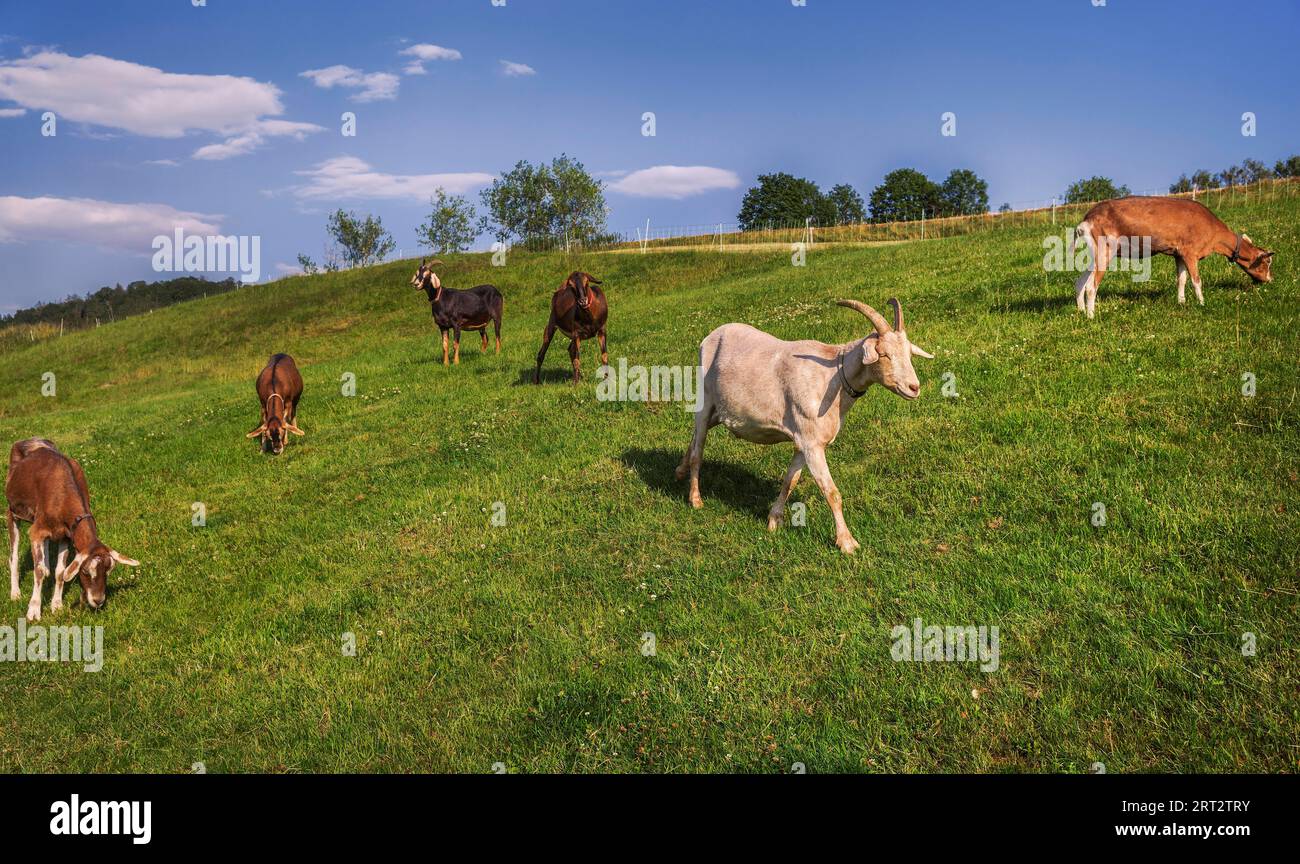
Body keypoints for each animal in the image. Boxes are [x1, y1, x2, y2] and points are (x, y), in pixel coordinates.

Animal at [6, 438, 139, 620]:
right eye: (86, 572)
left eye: (108, 572)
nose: (98, 601)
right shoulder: (37, 531)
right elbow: (37, 570)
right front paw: (33, 610)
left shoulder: (66, 535)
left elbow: (60, 572)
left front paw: (57, 605)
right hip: (12, 512)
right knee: (14, 555)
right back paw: (15, 593)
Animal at [676, 298, 933, 554]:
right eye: (884, 354)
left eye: (909, 354)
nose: (914, 387)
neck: (834, 377)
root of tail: (711, 335)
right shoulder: (812, 443)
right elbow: (832, 492)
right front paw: (847, 542)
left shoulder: (802, 441)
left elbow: (790, 480)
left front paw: (774, 520)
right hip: (704, 398)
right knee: (699, 446)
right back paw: (695, 498)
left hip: (722, 410)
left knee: (697, 435)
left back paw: (680, 470)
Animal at [1070, 196, 1274, 318]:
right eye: (1267, 262)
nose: (1269, 280)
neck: (1214, 232)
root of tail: (1087, 218)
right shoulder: (1190, 252)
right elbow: (1196, 280)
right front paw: (1202, 303)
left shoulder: (1179, 254)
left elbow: (1181, 280)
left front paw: (1181, 303)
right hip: (1105, 250)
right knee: (1091, 286)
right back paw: (1091, 316)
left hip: (1095, 254)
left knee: (1080, 282)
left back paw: (1080, 310)